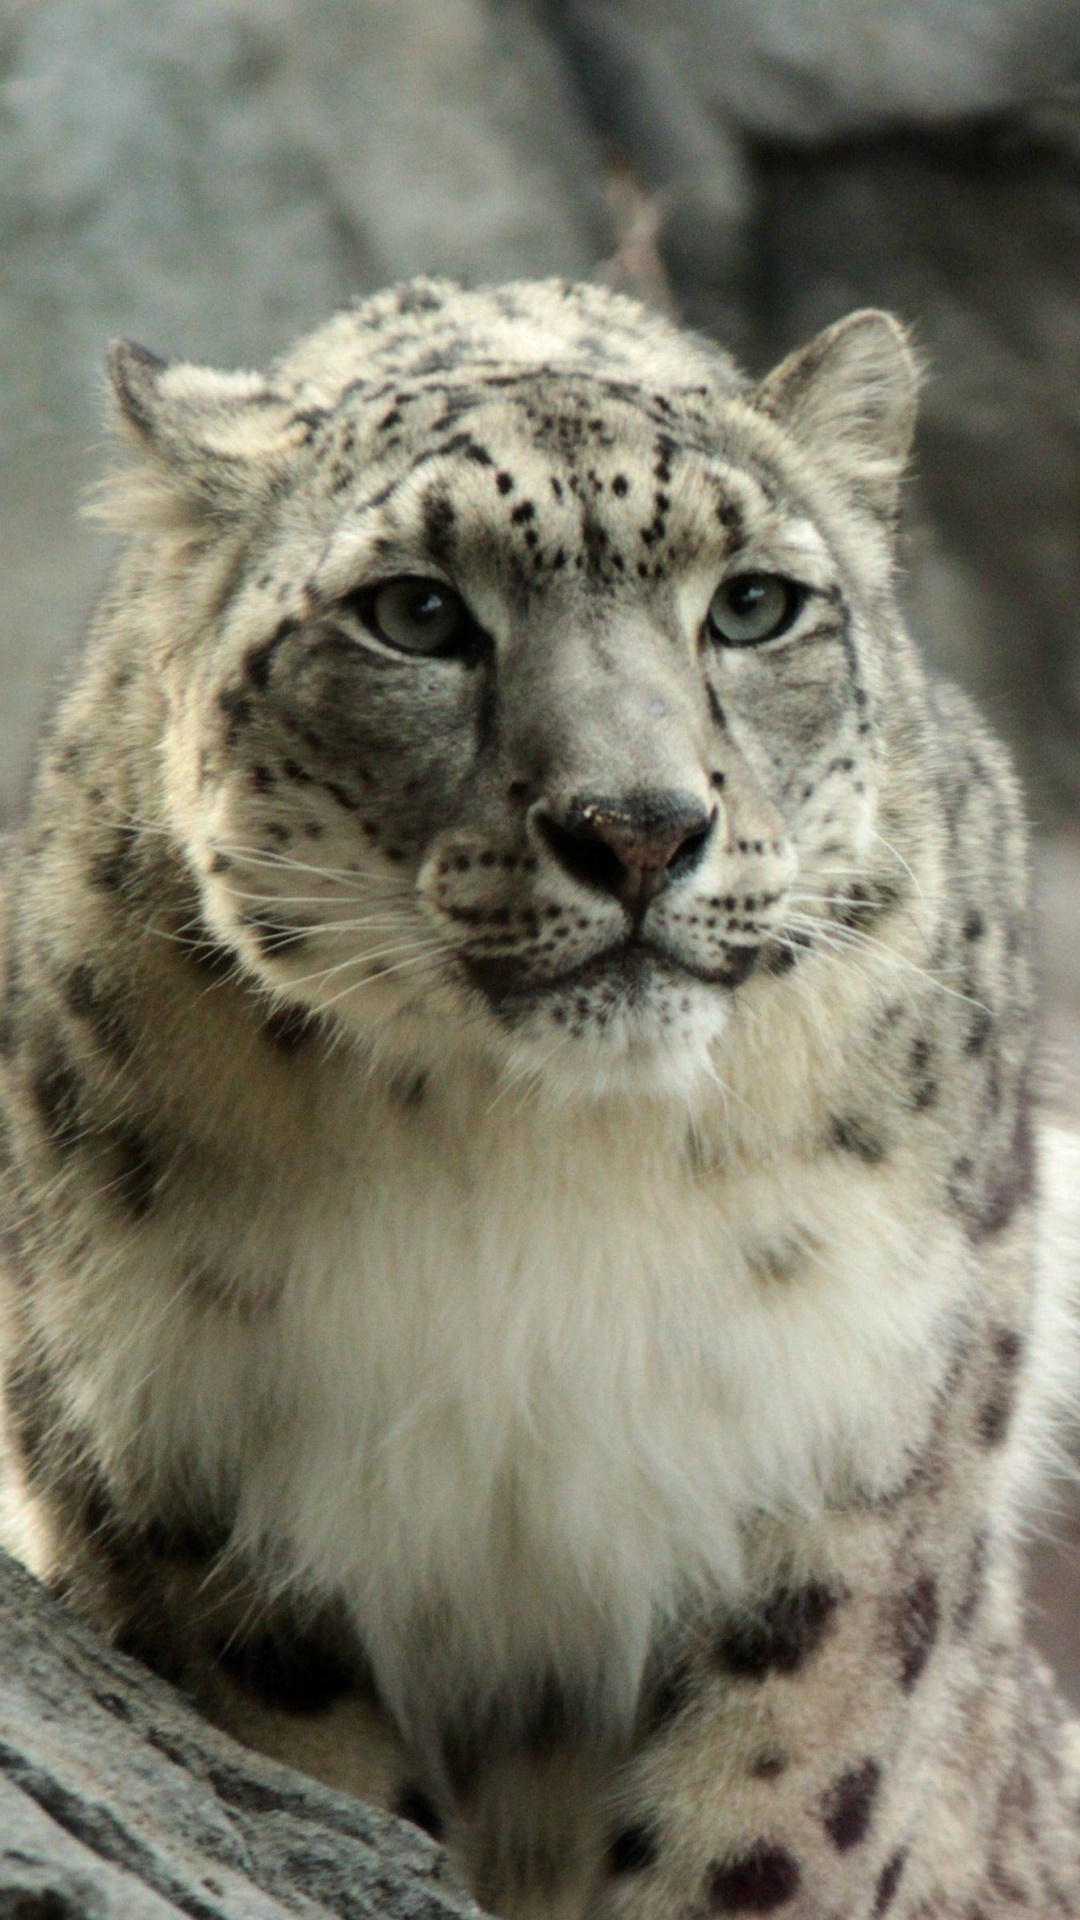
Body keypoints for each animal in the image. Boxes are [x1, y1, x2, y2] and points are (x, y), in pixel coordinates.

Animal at [2, 273, 1080, 1920]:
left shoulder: (862, 1451)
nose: (636, 829)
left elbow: (772, 1814)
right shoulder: (182, 1467)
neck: (537, 1160)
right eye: (417, 613)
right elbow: (306, 1762)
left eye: (754, 603)